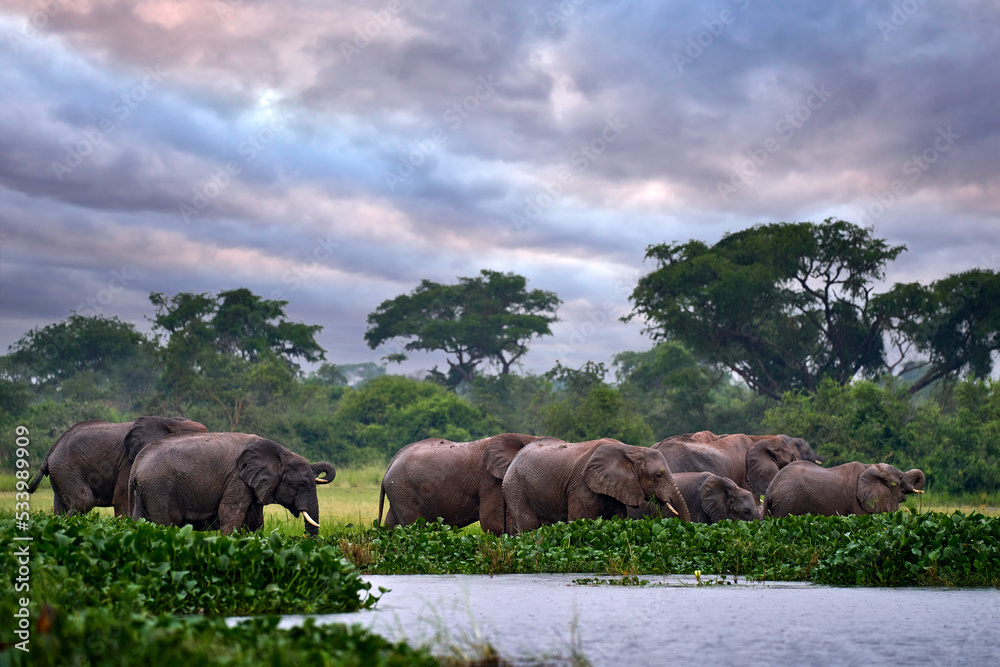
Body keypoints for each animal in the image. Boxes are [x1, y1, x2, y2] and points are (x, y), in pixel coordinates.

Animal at [26, 416, 208, 516]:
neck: (170, 421)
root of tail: (50, 452)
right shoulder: (128, 461)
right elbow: (123, 498)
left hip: (60, 472)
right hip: (66, 468)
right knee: (84, 500)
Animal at [129, 432, 335, 536]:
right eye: (302, 484)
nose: (305, 541)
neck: (282, 453)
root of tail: (136, 466)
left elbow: (255, 520)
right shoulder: (237, 478)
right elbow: (230, 514)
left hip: (145, 491)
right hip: (159, 489)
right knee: (165, 524)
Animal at [378, 433, 541, 534]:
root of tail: (391, 463)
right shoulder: (490, 481)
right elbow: (492, 520)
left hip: (398, 491)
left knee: (391, 527)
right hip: (403, 490)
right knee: (412, 526)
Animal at [502, 438, 691, 534]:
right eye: (658, 475)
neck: (631, 449)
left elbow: (616, 520)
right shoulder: (582, 486)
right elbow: (581, 521)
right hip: (515, 487)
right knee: (528, 524)